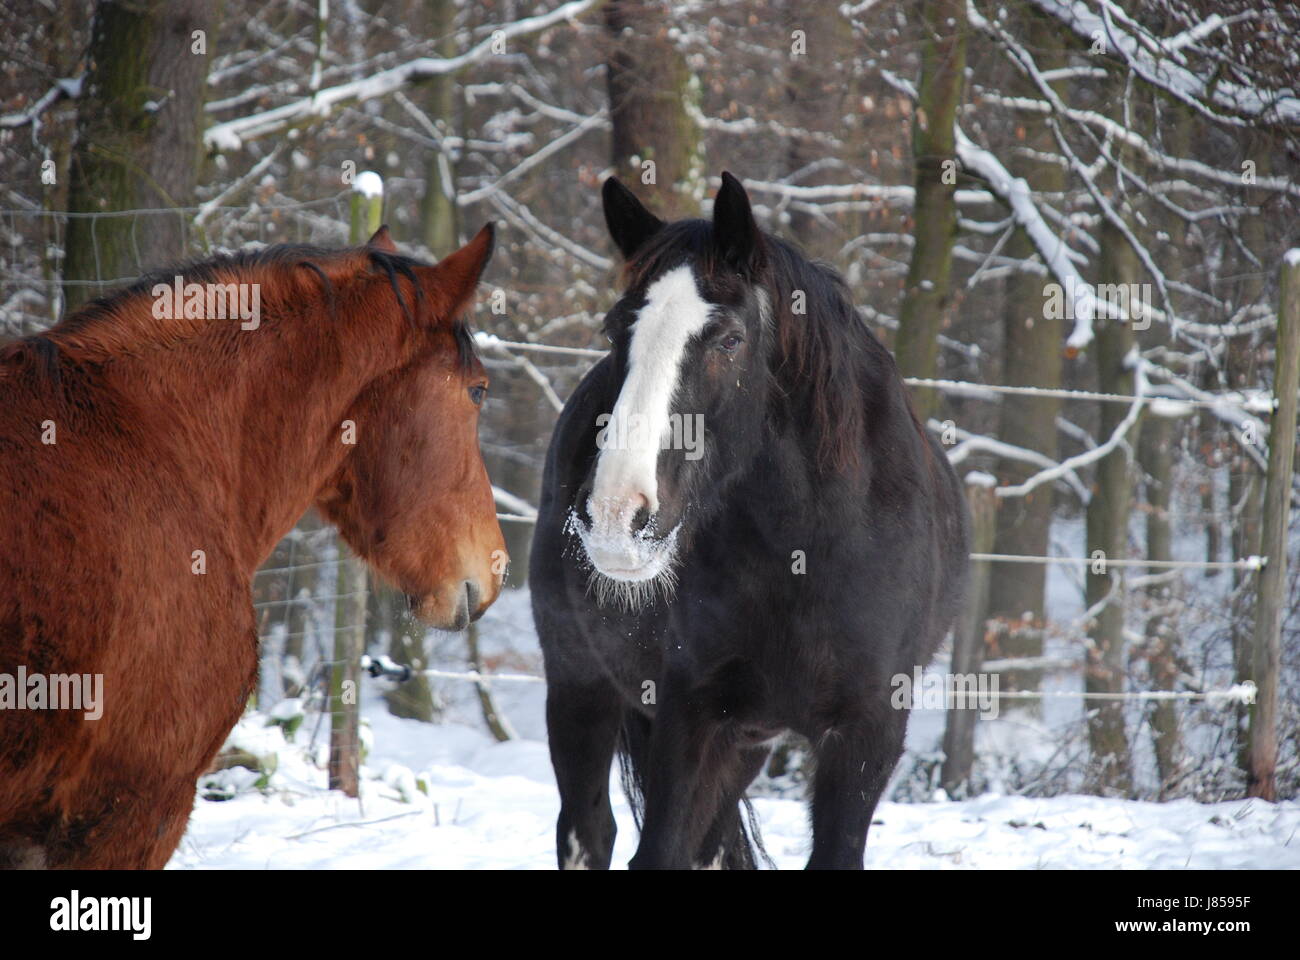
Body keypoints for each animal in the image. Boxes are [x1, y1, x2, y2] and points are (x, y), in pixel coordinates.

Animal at [530, 173, 969, 869]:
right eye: (614, 330)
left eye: (729, 340)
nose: (615, 517)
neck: (807, 551)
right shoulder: (692, 714)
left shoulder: (866, 735)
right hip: (580, 685)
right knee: (587, 830)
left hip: (746, 746)